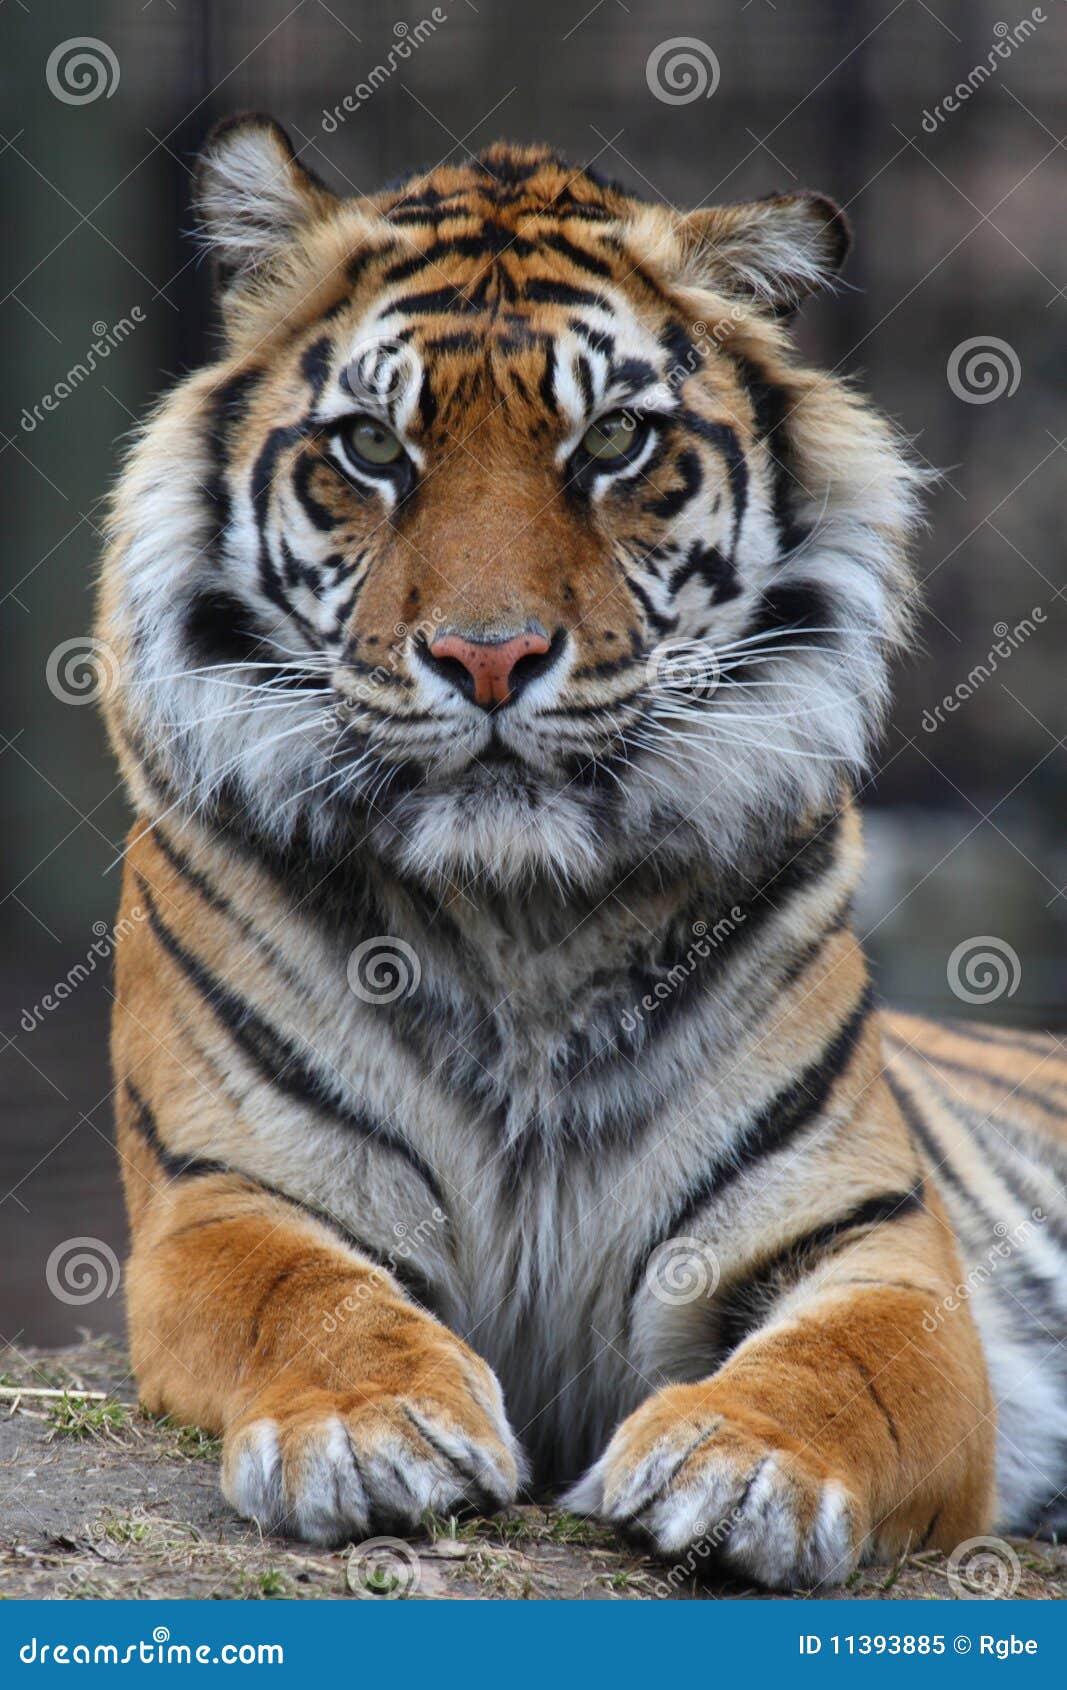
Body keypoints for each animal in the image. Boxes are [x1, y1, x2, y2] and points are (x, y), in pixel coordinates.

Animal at [96, 116, 1067, 1592]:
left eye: (611, 438)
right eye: (370, 446)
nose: (487, 656)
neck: (520, 919)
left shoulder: (871, 1235)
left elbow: (855, 1362)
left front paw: (742, 1463)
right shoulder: (225, 1190)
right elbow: (299, 1293)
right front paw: (370, 1426)